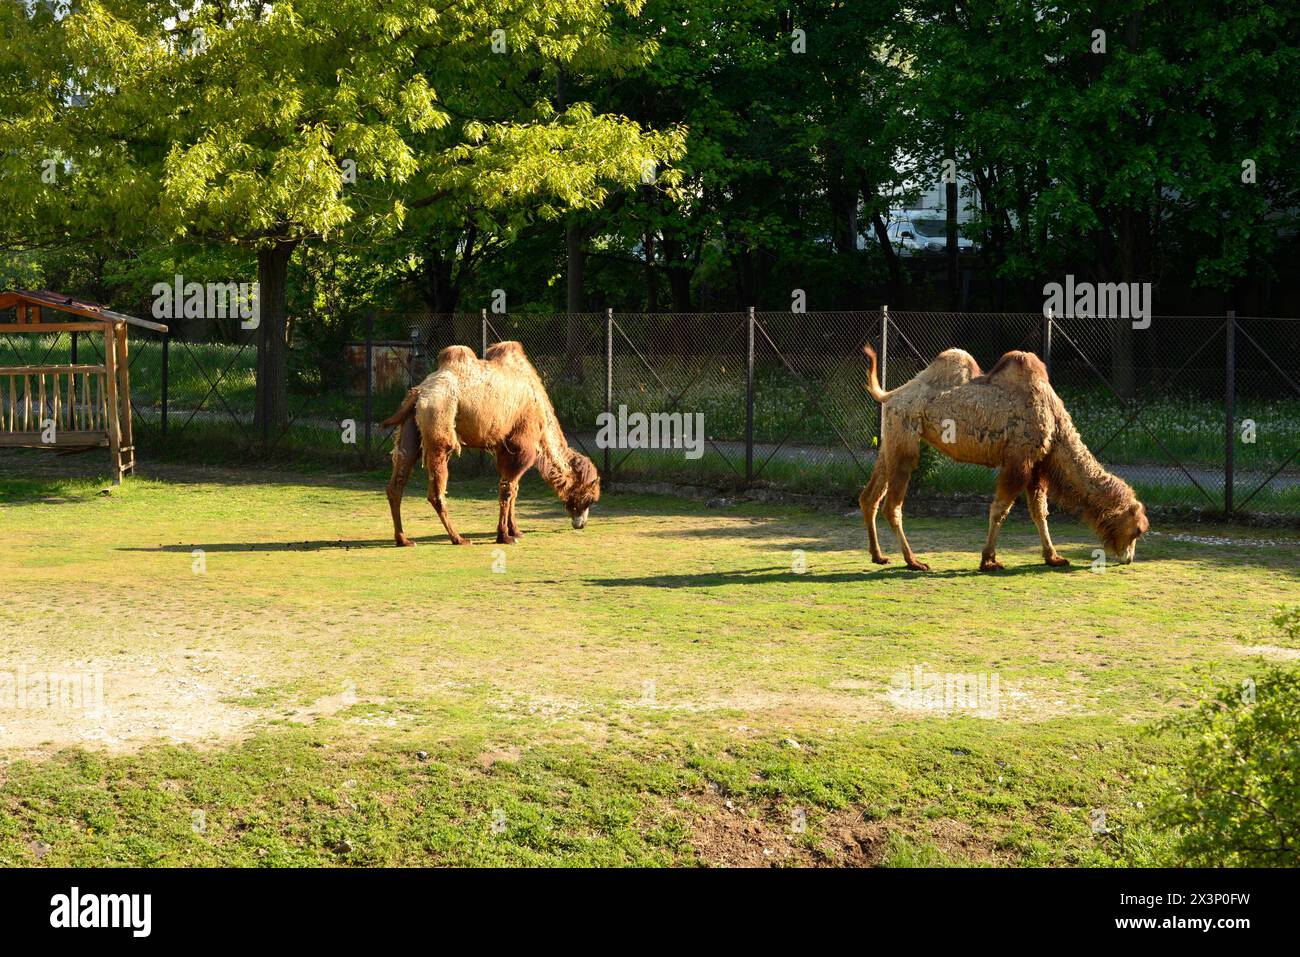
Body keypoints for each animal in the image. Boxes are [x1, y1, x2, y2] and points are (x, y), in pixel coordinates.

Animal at [382, 341, 600, 546]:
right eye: (590, 497)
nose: (581, 524)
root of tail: (419, 392)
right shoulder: (522, 443)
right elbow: (507, 490)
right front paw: (504, 536)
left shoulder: (505, 447)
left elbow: (514, 488)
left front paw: (515, 530)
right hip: (439, 424)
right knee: (436, 491)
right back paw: (458, 538)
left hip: (411, 429)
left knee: (396, 484)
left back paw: (404, 539)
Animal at [859, 345, 1148, 571]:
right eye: (1137, 530)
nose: (1128, 558)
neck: (1056, 427)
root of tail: (891, 395)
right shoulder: (1018, 460)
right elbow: (1001, 509)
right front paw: (988, 560)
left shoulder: (1036, 464)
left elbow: (1039, 512)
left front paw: (1053, 557)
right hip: (905, 439)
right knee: (892, 504)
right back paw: (913, 561)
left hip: (890, 440)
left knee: (870, 496)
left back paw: (878, 555)